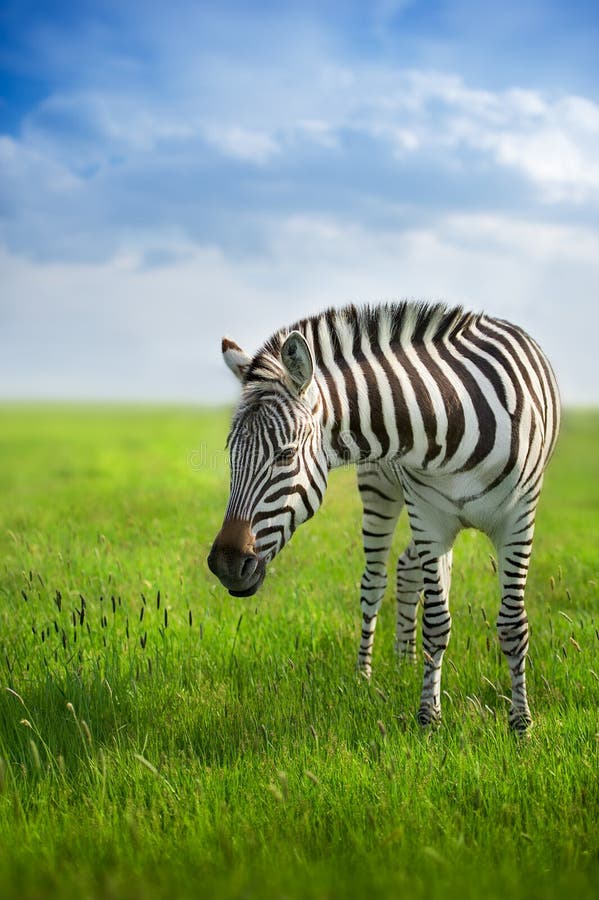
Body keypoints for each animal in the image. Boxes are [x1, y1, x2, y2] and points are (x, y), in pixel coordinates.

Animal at [208, 302, 560, 732]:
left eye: (285, 455)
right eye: (231, 455)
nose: (226, 565)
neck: (448, 414)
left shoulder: (517, 522)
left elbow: (512, 625)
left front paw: (520, 724)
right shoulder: (428, 517)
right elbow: (436, 623)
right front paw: (428, 717)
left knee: (407, 568)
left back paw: (404, 661)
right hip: (381, 491)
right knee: (375, 583)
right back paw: (367, 673)